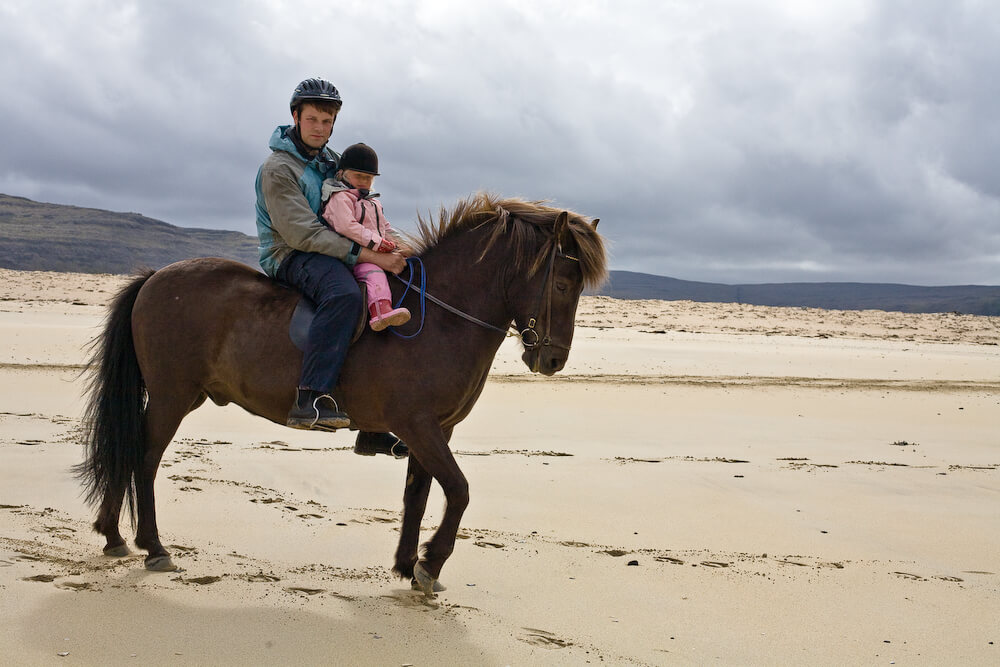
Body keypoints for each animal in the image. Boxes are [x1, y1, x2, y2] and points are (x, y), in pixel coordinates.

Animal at [75, 192, 607, 595]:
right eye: (563, 283)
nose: (553, 361)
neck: (441, 317)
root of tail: (155, 278)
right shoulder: (419, 426)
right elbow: (458, 491)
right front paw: (430, 564)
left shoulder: (434, 430)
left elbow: (418, 494)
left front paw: (406, 565)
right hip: (171, 396)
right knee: (143, 459)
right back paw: (153, 547)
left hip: (184, 396)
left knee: (128, 451)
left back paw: (113, 536)